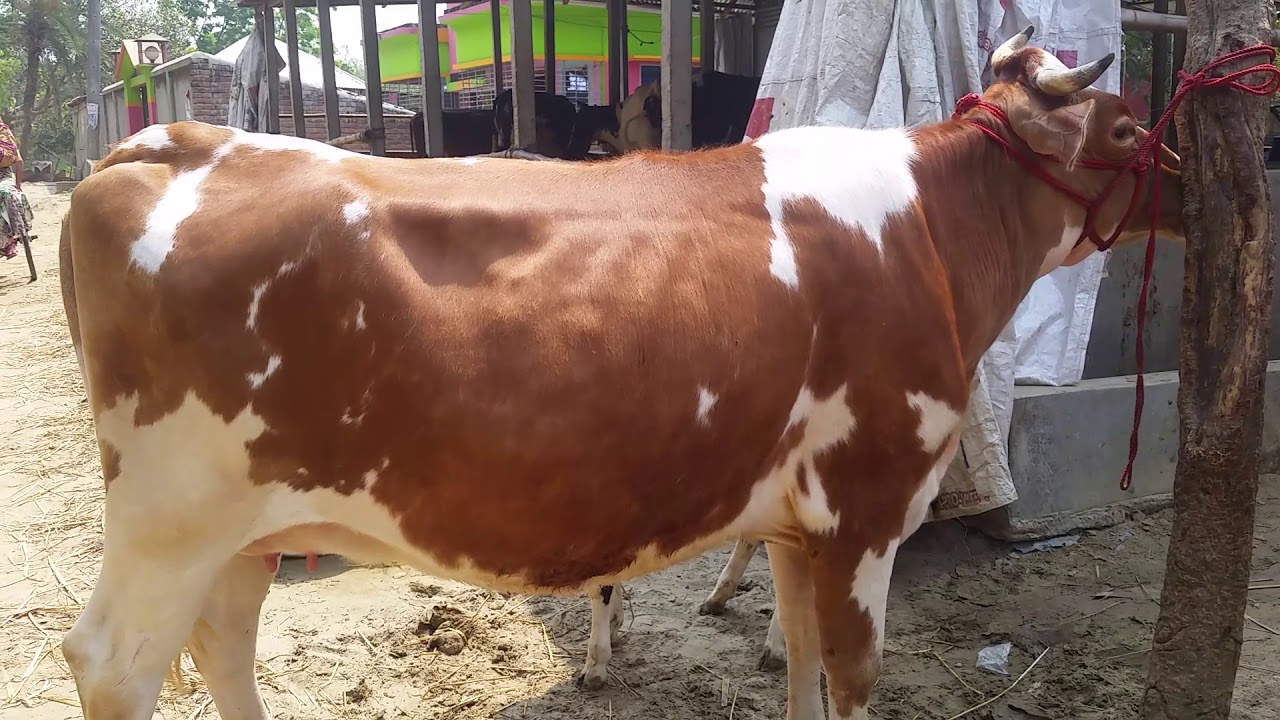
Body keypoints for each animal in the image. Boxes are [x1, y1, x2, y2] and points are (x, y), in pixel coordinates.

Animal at [59, 28, 1182, 720]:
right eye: (1129, 127)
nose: (1195, 181)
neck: (931, 235)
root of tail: (165, 140)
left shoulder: (795, 519)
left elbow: (798, 658)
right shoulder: (865, 508)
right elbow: (852, 675)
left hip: (241, 532)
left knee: (221, 643)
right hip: (171, 518)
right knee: (114, 664)